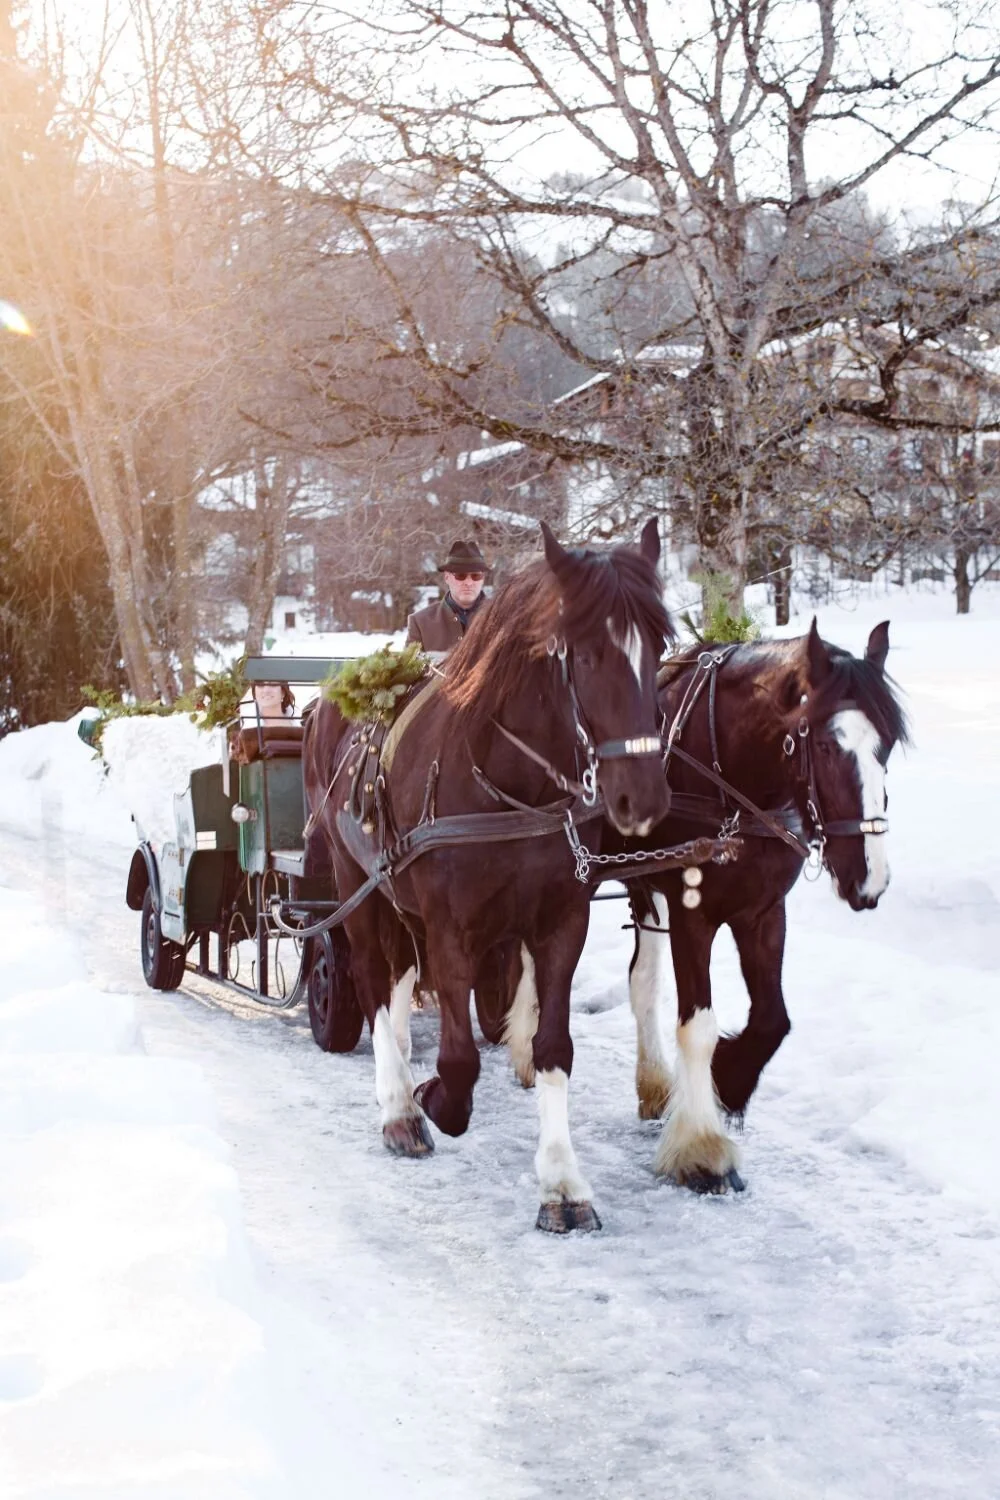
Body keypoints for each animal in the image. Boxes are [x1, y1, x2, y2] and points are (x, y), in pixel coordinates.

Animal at [304, 521, 674, 1232]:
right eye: (587, 655)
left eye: (661, 648)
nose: (642, 797)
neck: (513, 784)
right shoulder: (453, 927)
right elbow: (459, 1058)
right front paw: (431, 1097)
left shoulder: (561, 922)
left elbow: (554, 1046)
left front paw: (562, 1182)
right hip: (351, 881)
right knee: (372, 977)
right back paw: (398, 1106)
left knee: (398, 976)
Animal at [616, 618, 909, 1194]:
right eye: (826, 745)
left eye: (886, 745)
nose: (871, 879)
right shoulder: (691, 913)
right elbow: (698, 1027)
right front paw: (701, 1148)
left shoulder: (764, 910)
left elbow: (774, 1019)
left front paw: (729, 1080)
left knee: (643, 980)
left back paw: (655, 1083)